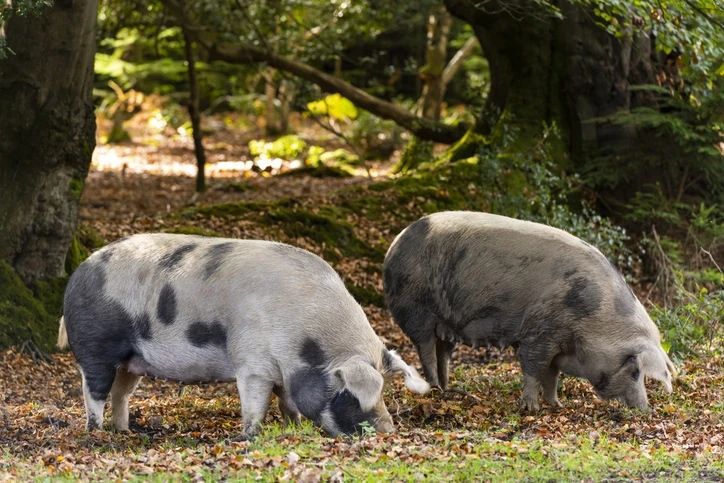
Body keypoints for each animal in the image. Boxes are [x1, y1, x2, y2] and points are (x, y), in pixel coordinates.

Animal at [57, 234, 429, 438]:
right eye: (347, 393)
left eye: (385, 389)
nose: (387, 431)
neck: (302, 340)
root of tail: (81, 269)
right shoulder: (252, 363)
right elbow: (255, 402)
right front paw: (247, 436)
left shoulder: (285, 370)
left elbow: (287, 401)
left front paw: (293, 428)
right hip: (96, 345)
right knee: (94, 389)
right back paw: (96, 431)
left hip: (131, 359)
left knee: (121, 392)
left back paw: (124, 430)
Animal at [383, 211, 675, 411]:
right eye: (635, 371)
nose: (646, 409)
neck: (593, 319)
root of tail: (395, 243)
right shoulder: (539, 332)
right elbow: (534, 368)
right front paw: (531, 408)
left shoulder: (558, 345)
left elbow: (552, 376)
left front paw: (557, 405)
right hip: (415, 310)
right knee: (425, 351)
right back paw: (434, 389)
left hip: (446, 323)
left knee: (442, 352)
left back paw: (448, 389)